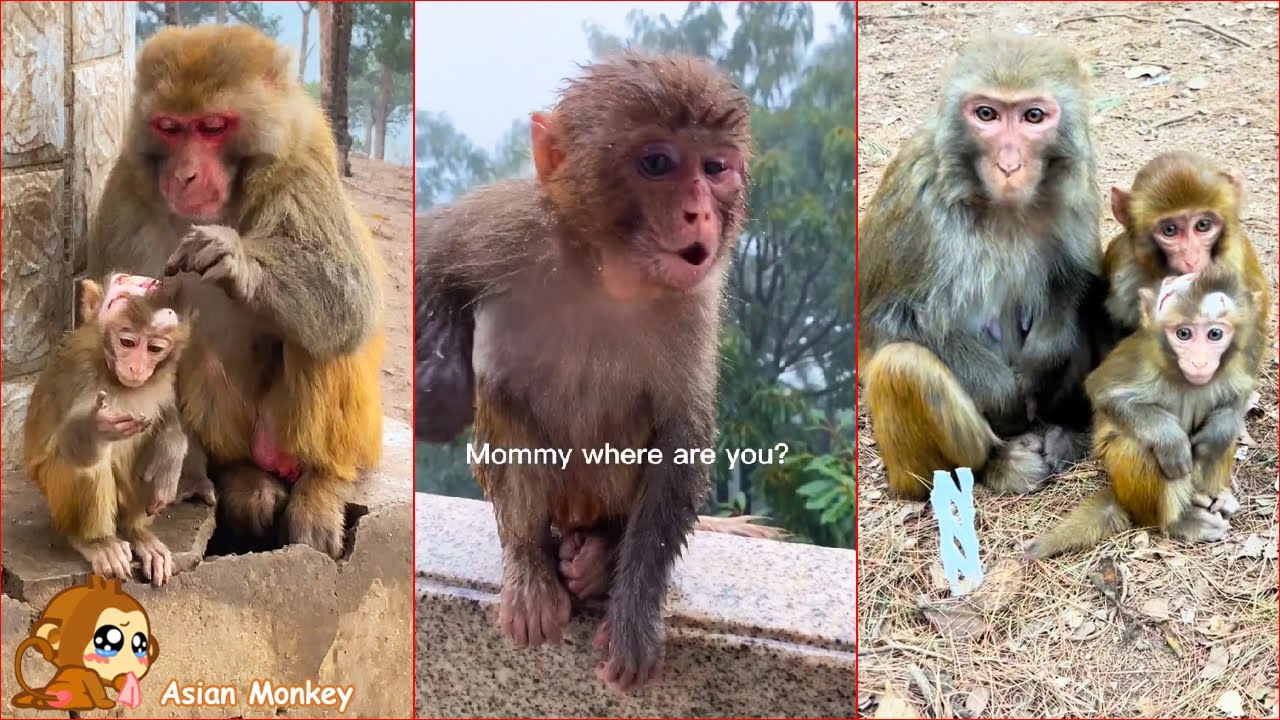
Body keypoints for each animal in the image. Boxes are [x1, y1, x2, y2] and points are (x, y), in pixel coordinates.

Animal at [22, 274, 192, 587]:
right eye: (127, 342)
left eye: (154, 348)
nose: (136, 367)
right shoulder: (78, 374)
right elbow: (66, 444)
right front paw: (98, 426)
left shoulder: (165, 378)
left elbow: (167, 415)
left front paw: (170, 457)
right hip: (57, 502)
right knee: (88, 464)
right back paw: (97, 541)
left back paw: (138, 533)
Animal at [84, 25, 385, 558]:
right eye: (169, 127)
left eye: (212, 127)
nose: (184, 175)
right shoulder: (124, 201)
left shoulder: (303, 165)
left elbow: (347, 299)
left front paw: (238, 261)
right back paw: (237, 479)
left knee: (323, 337)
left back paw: (321, 484)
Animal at [416, 52, 751, 692]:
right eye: (656, 163)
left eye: (715, 168)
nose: (698, 211)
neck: (609, 274)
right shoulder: (515, 224)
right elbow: (433, 258)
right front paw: (439, 381)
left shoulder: (693, 300)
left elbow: (682, 430)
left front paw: (635, 612)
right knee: (503, 394)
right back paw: (533, 567)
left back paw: (601, 554)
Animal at [857, 34, 1104, 502]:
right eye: (986, 114)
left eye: (1033, 116)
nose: (1009, 165)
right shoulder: (917, 196)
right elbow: (884, 320)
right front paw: (1002, 393)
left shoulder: (1079, 188)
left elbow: (1077, 278)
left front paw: (1045, 355)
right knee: (903, 365)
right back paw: (996, 463)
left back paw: (1064, 429)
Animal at [1026, 267, 1264, 559]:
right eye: (1183, 334)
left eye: (1215, 334)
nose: (1199, 361)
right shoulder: (1141, 362)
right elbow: (1102, 391)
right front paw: (1171, 441)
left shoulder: (1233, 365)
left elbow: (1238, 395)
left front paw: (1220, 431)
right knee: (1138, 448)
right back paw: (1179, 521)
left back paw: (1216, 494)